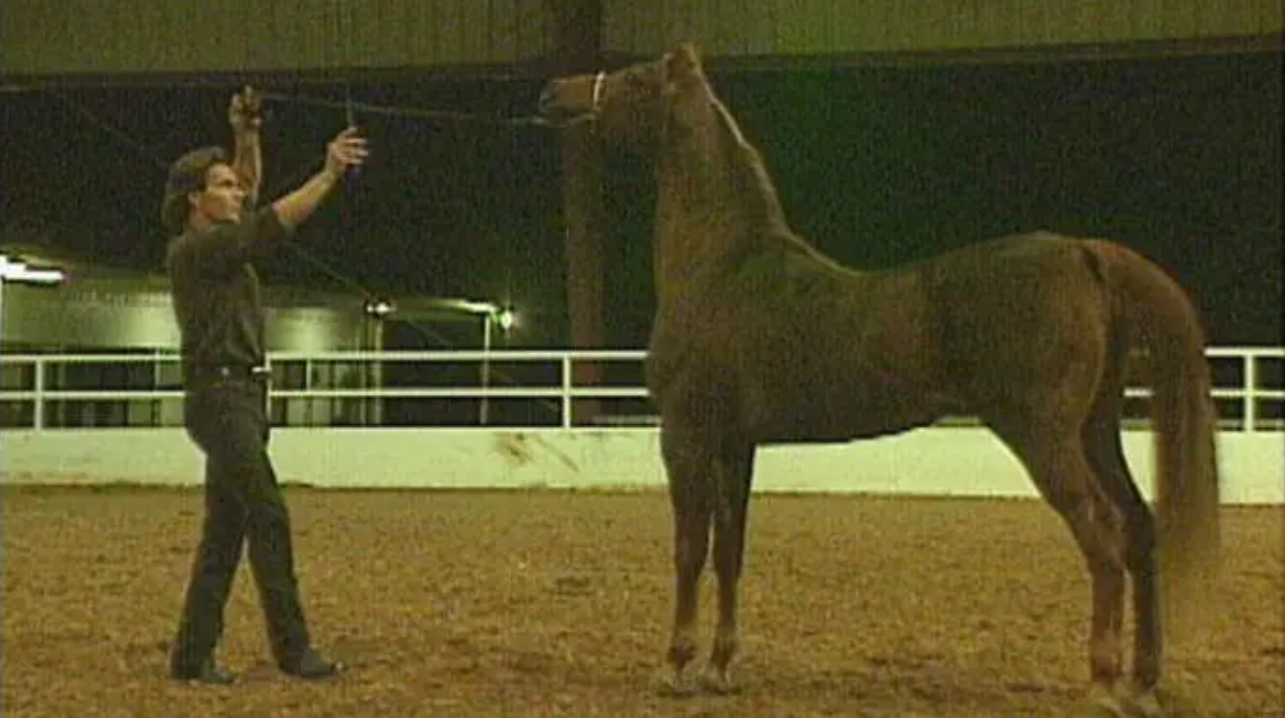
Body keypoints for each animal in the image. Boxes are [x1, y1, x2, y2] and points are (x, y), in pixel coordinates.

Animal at [538, 43, 1221, 716]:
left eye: (634, 78)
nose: (553, 93)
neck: (721, 267)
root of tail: (1083, 252)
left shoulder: (685, 437)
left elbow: (689, 549)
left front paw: (675, 666)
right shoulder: (737, 444)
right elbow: (730, 550)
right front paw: (720, 668)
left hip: (1045, 439)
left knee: (1103, 537)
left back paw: (1104, 682)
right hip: (1096, 432)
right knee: (1139, 529)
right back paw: (1143, 681)